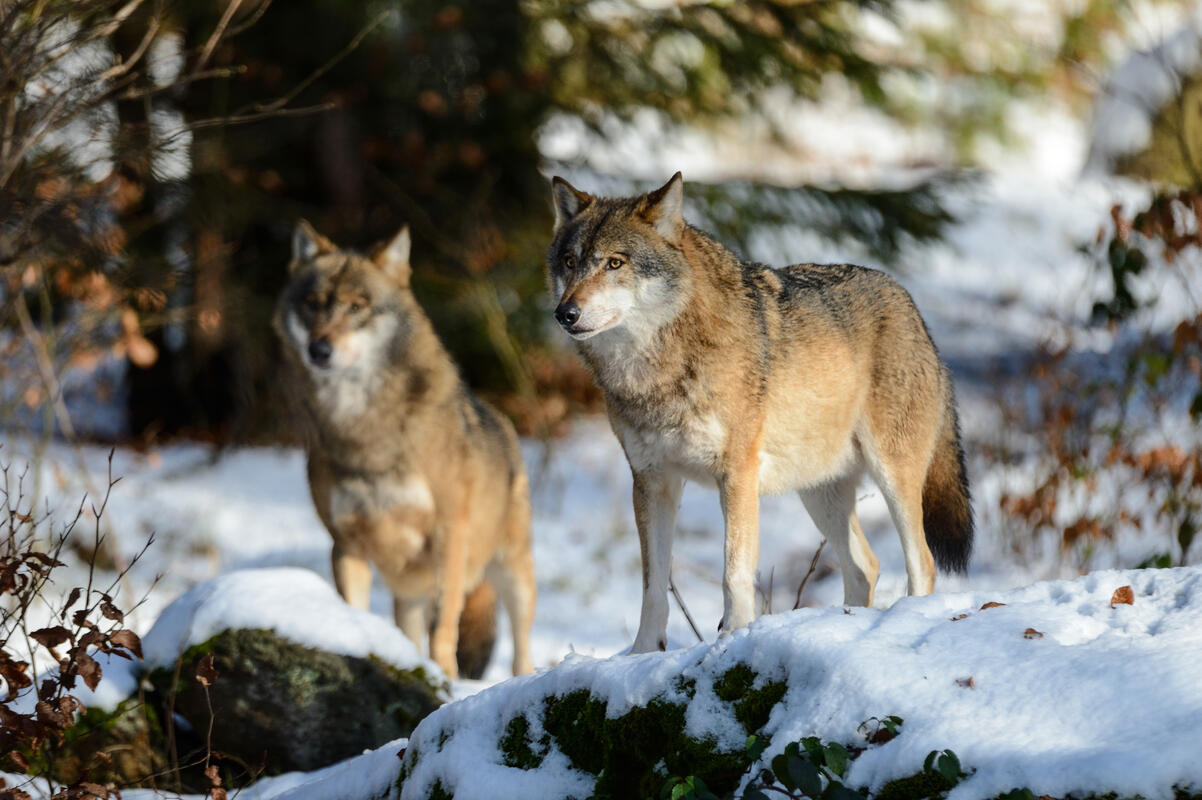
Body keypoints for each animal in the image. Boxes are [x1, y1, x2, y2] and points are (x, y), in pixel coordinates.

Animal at [275, 220, 536, 678]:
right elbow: (354, 612)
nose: (319, 350)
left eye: (357, 307)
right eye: (313, 304)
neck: (364, 431)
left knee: (520, 647)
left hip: (510, 571)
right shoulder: (345, 544)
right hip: (408, 592)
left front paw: (446, 681)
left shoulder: (449, 536)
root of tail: (501, 418)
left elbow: (444, 629)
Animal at [544, 173, 972, 653]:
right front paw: (642, 653)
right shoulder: (651, 481)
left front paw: (732, 633)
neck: (656, 372)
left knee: (922, 563)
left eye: (615, 263)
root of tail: (912, 308)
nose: (565, 313)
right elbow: (653, 584)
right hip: (819, 494)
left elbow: (734, 570)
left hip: (893, 477)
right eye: (569, 262)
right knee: (867, 566)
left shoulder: (736, 474)